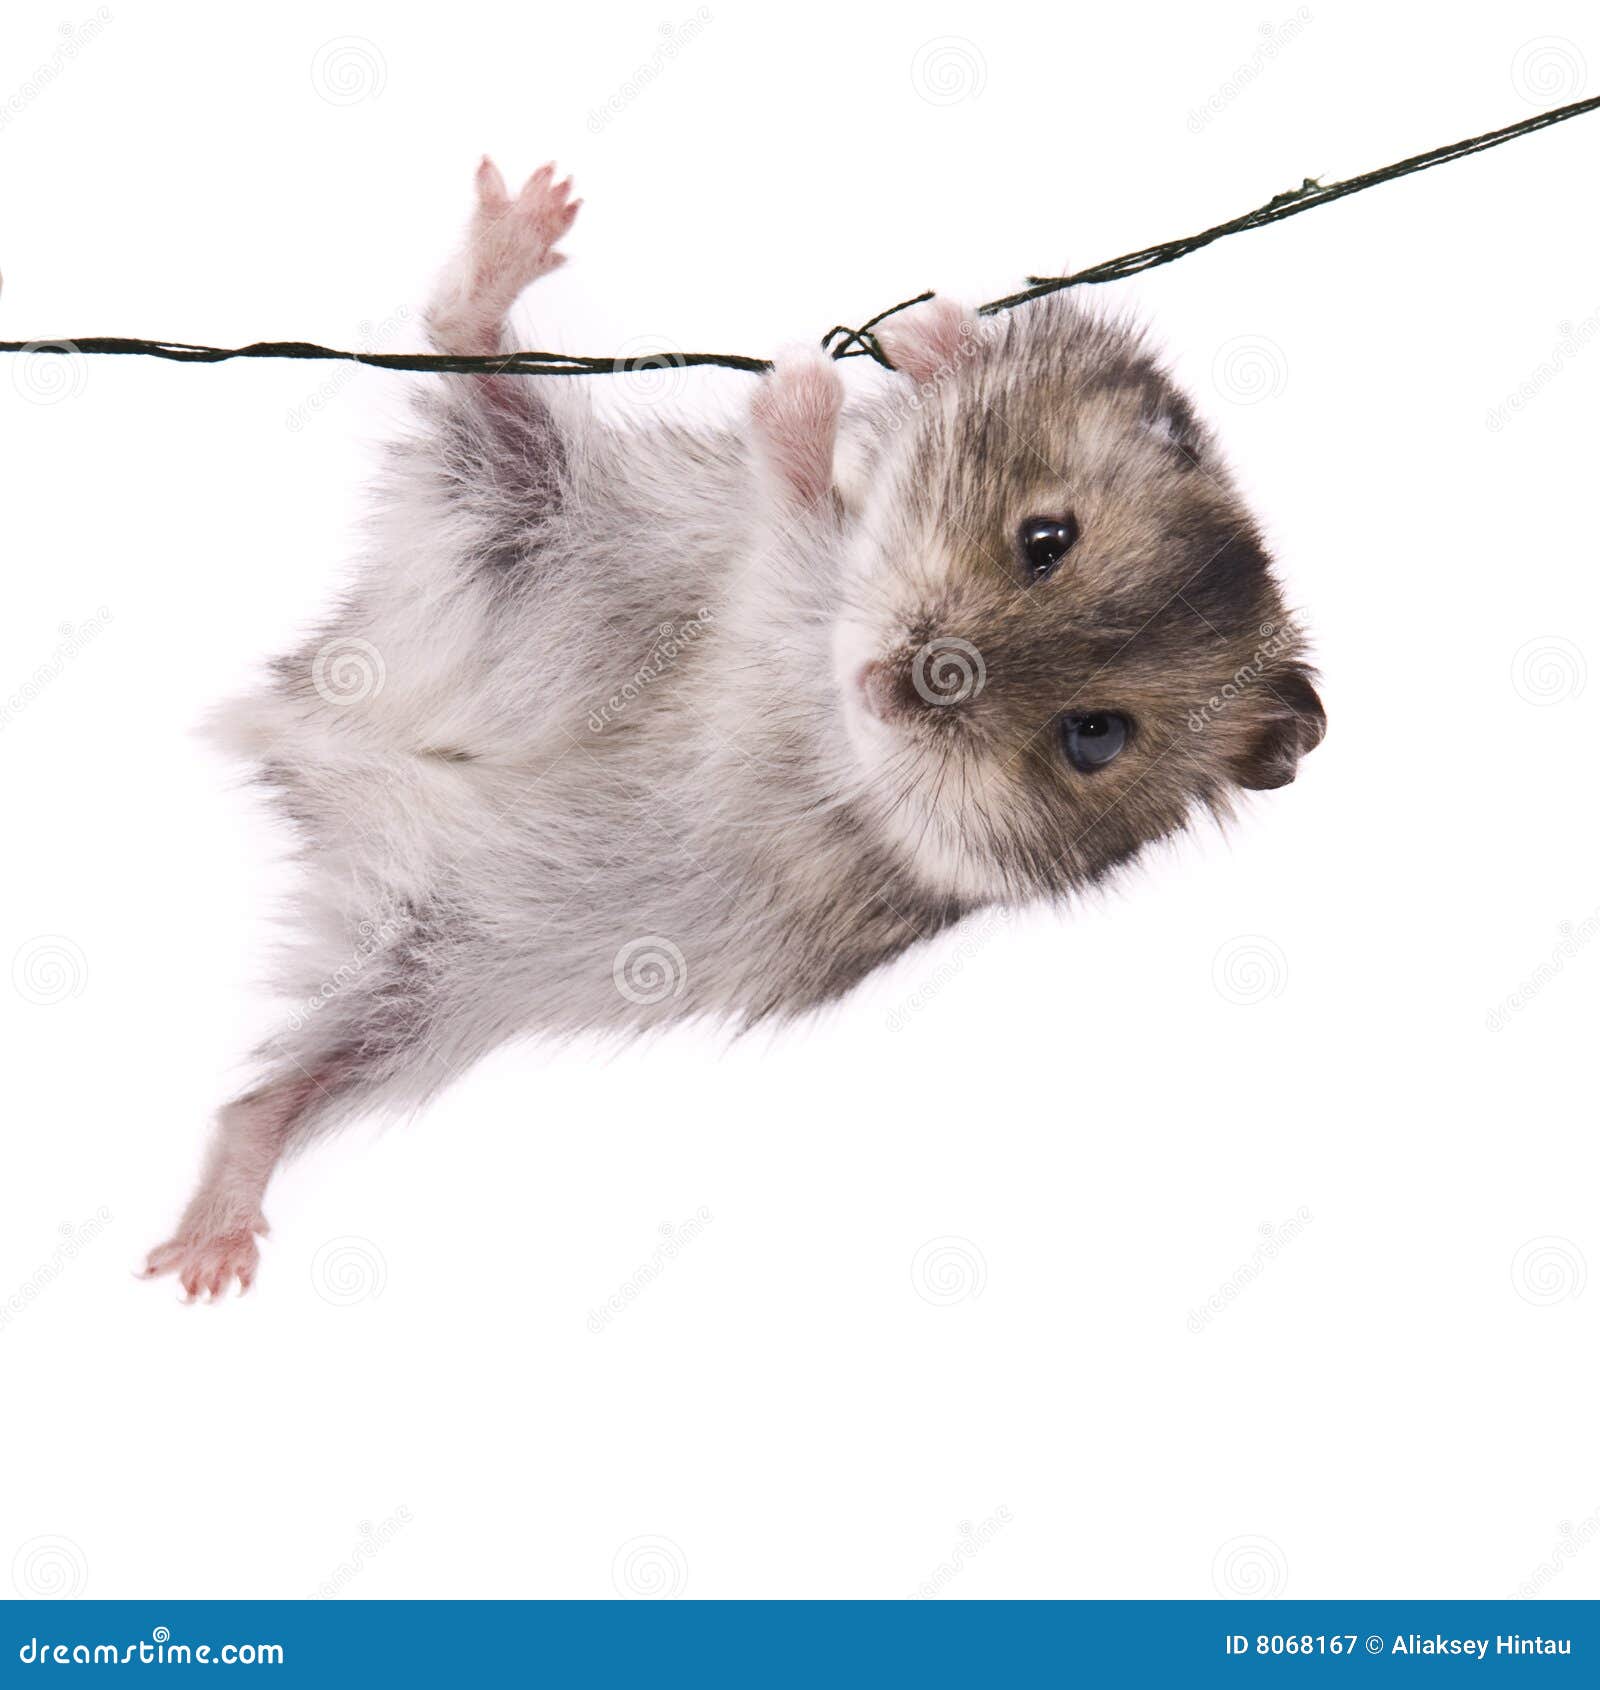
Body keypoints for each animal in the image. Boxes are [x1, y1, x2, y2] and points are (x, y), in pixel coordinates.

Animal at [143, 156, 1324, 1297]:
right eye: (1046, 538)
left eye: (1096, 739)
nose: (895, 688)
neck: (827, 664)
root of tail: (308, 731)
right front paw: (923, 338)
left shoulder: (820, 677)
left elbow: (801, 524)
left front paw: (810, 382)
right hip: (521, 516)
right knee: (469, 357)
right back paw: (537, 215)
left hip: (420, 983)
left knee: (268, 1099)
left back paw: (205, 1262)